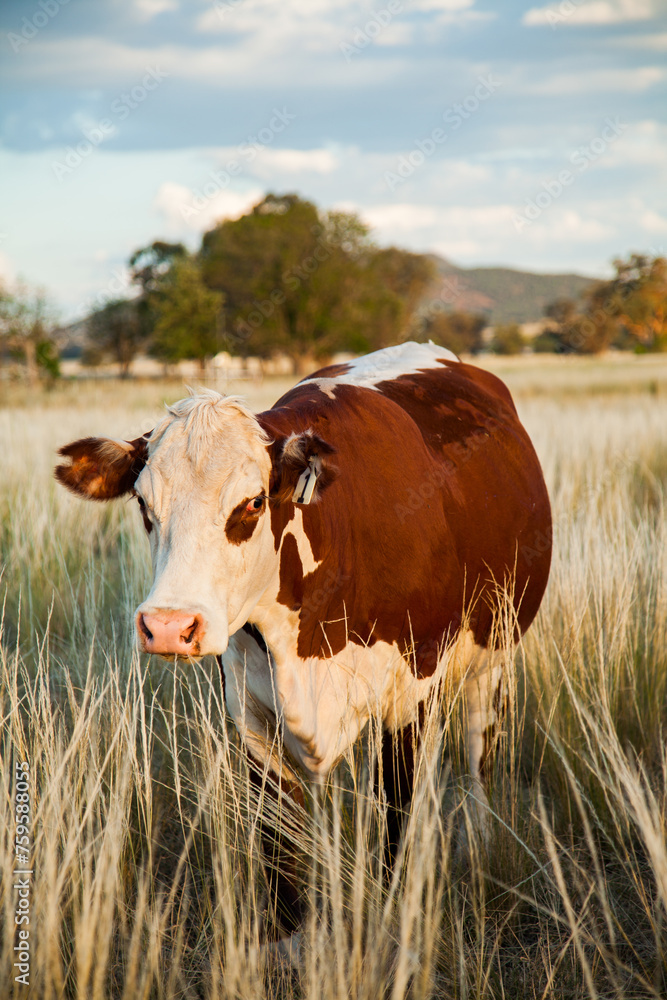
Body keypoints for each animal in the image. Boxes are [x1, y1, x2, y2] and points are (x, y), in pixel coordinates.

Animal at [55, 341, 551, 949]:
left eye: (251, 502)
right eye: (145, 507)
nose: (169, 625)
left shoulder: (410, 698)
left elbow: (397, 820)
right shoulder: (251, 710)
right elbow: (278, 843)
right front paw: (286, 942)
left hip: (494, 654)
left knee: (478, 750)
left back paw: (479, 841)